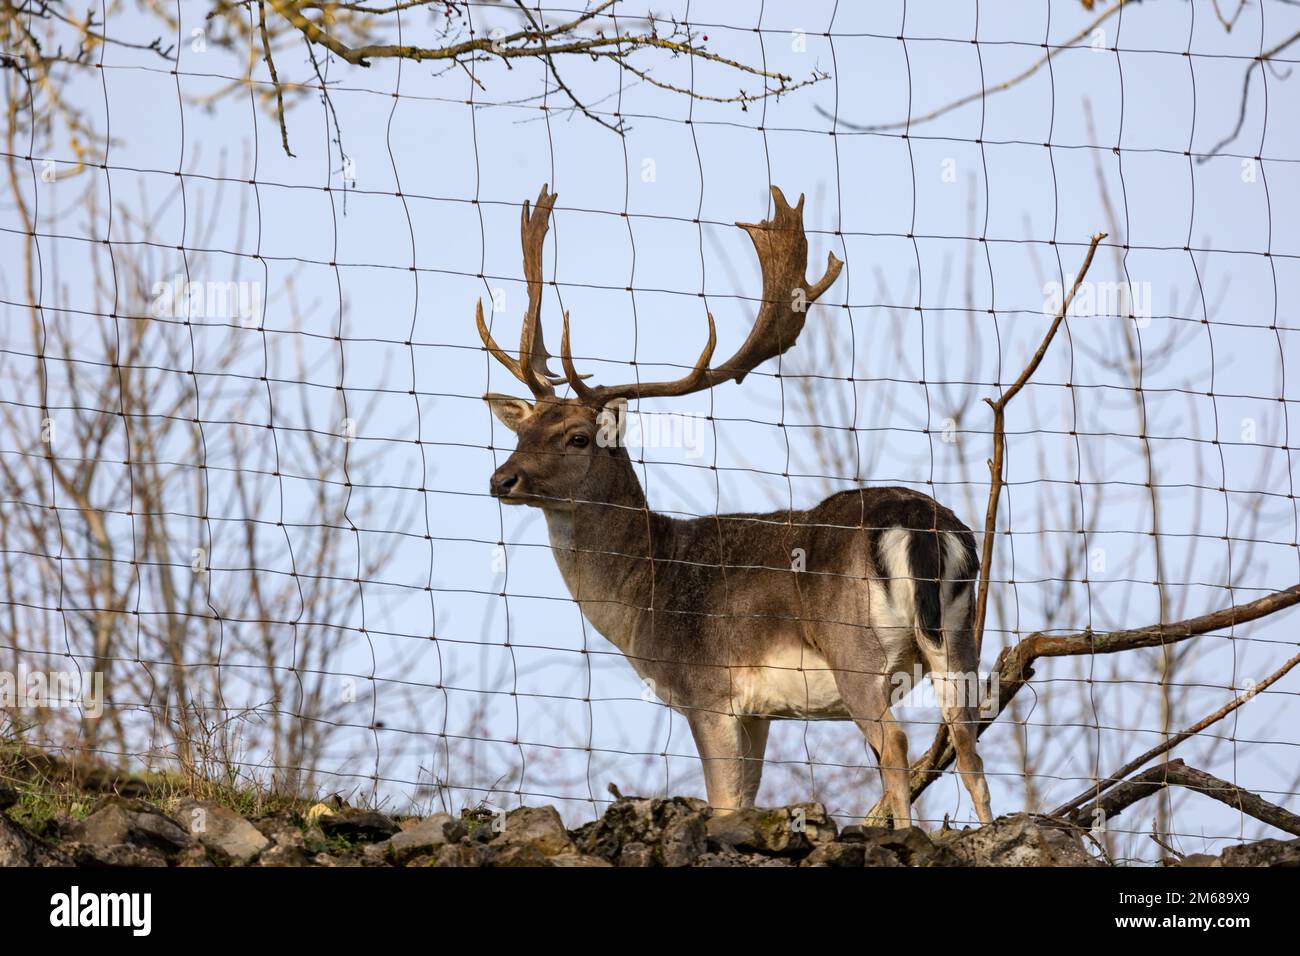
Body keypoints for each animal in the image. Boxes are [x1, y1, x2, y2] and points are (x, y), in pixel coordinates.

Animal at [476, 184, 993, 829]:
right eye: (522, 431)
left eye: (576, 437)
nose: (502, 479)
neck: (646, 594)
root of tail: (919, 522)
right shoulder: (760, 711)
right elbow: (747, 796)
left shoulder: (709, 691)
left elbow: (724, 803)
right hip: (959, 634)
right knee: (967, 738)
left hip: (854, 647)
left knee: (896, 741)